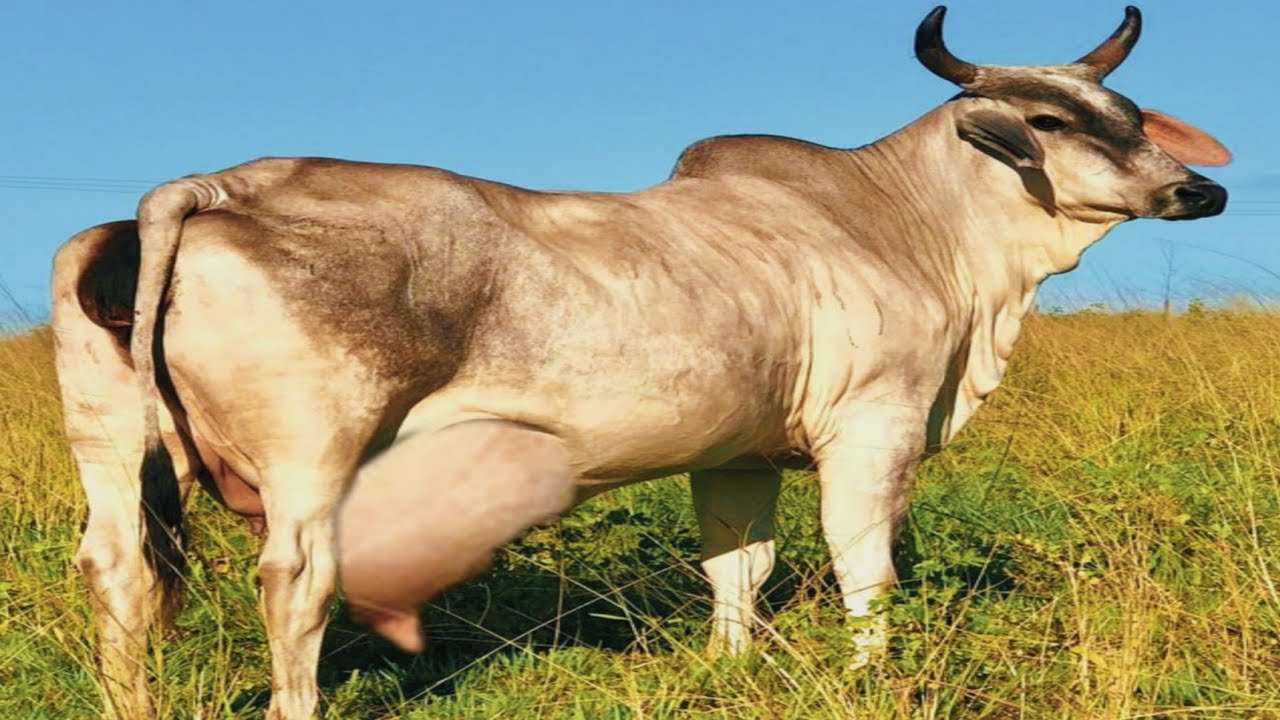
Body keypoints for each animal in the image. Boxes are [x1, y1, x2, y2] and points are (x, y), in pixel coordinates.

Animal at [51, 5, 1229, 718]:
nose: (1200, 190)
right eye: (1044, 118)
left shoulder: (737, 454)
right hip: (314, 459)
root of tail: (218, 185)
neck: (901, 221)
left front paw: (729, 666)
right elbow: (866, 566)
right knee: (296, 581)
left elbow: (737, 567)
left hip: (113, 455)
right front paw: (871, 676)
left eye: (1131, 114)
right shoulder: (873, 428)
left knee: (119, 572)